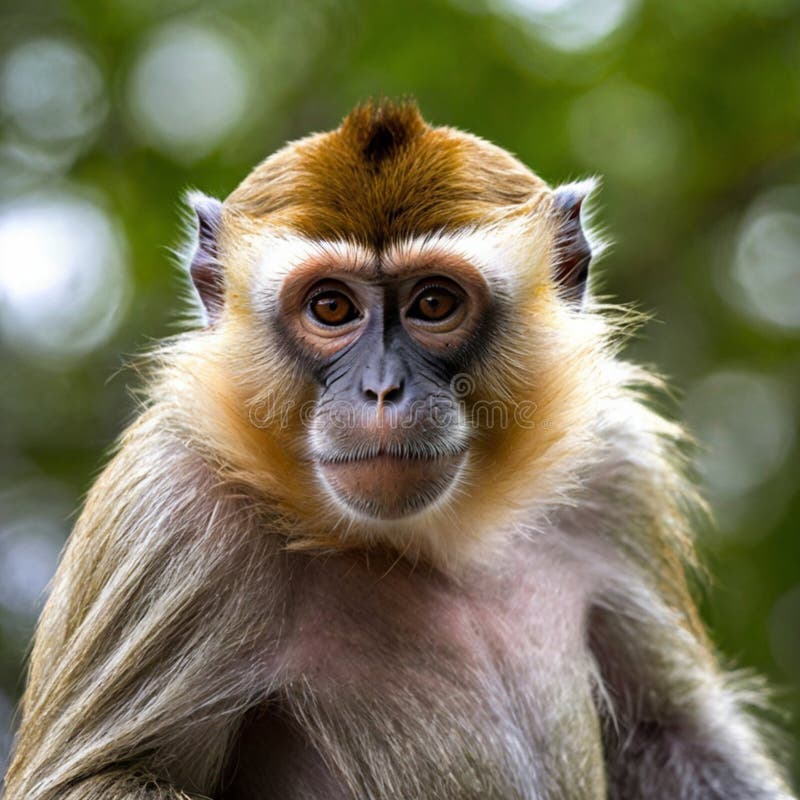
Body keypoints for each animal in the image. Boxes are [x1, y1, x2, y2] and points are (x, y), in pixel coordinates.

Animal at [3, 100, 795, 800]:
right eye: (330, 306)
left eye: (434, 303)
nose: (382, 389)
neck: (435, 538)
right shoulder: (173, 512)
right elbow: (93, 782)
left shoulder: (617, 469)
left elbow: (673, 731)